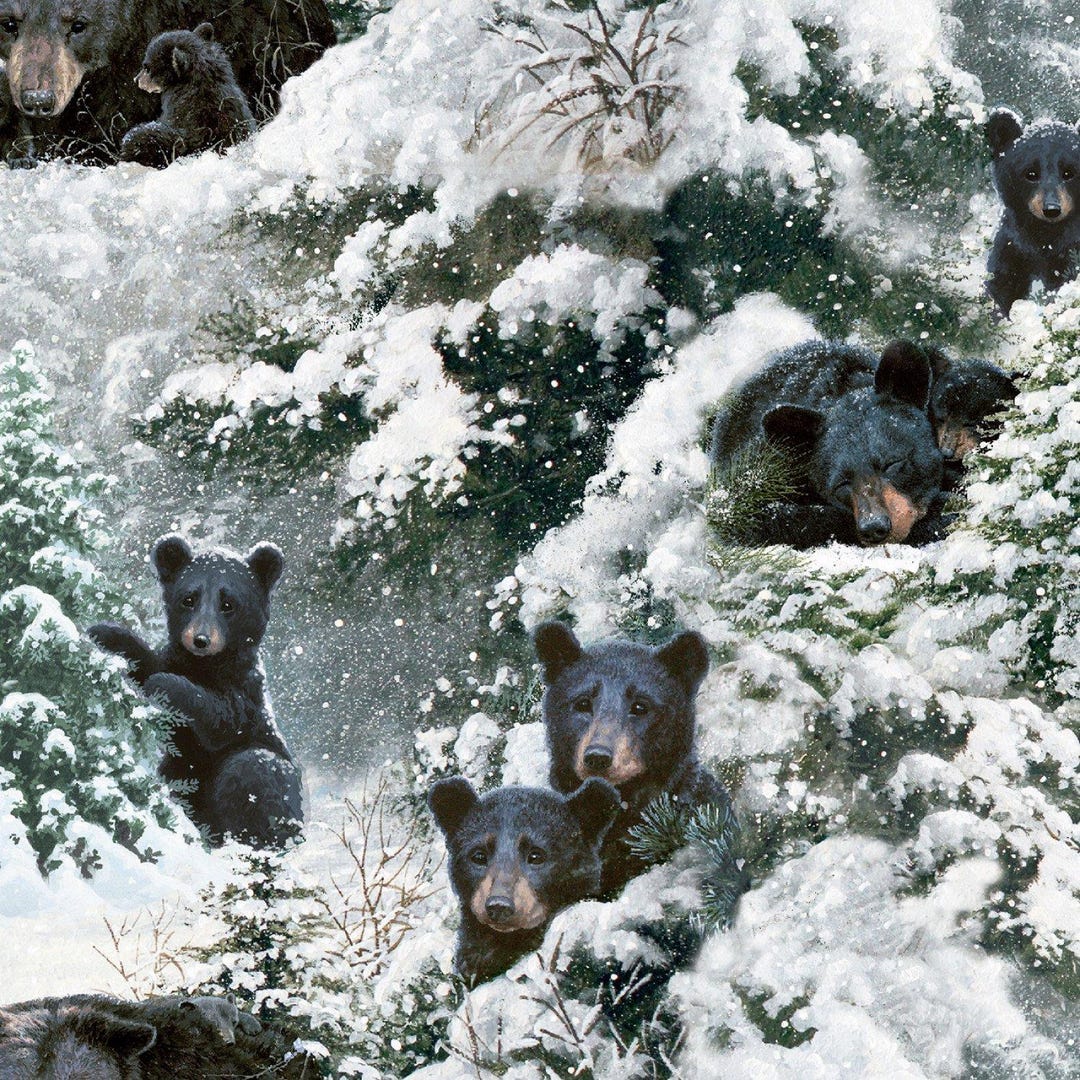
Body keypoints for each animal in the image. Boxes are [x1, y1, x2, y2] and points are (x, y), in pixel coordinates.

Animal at [87, 534, 303, 849]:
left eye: (228, 604)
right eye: (188, 599)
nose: (201, 639)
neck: (204, 665)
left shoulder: (245, 693)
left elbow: (219, 718)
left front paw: (164, 685)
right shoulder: (176, 659)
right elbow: (146, 661)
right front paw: (104, 632)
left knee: (255, 771)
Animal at [986, 107, 1080, 317]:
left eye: (1069, 172)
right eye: (1030, 173)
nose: (1051, 209)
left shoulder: (1070, 250)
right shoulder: (1014, 246)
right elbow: (1001, 285)